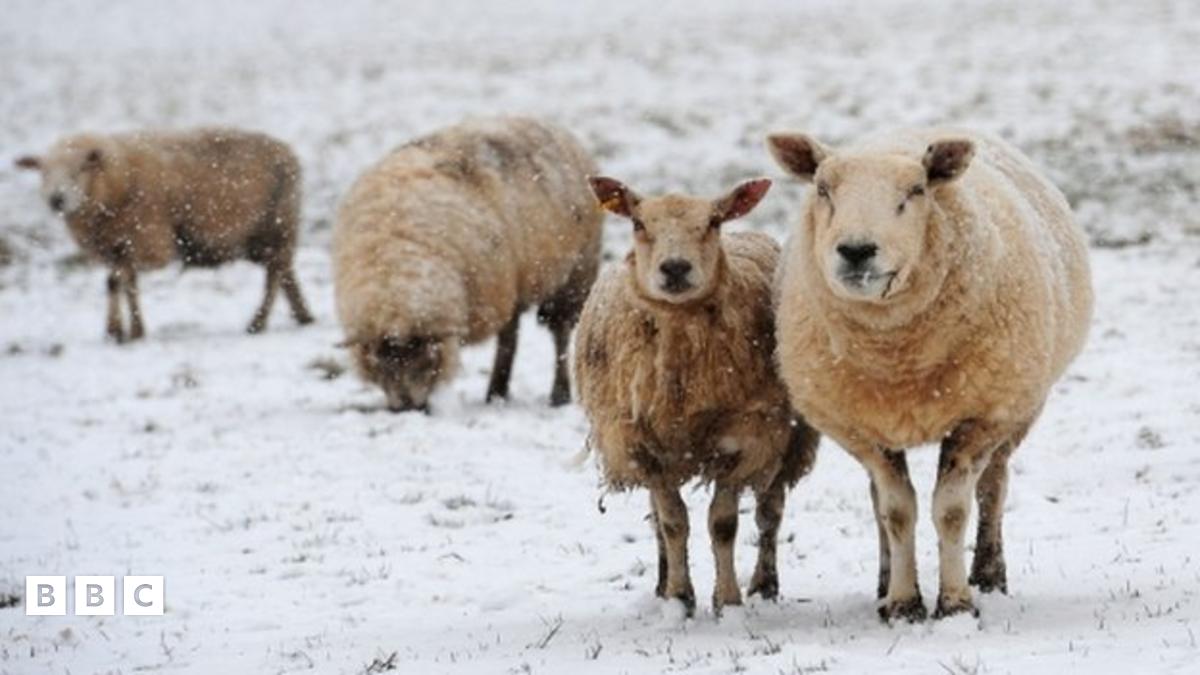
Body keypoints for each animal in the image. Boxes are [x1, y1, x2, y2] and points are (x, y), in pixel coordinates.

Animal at [14, 129, 314, 341]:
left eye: (79, 169)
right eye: (43, 173)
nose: (56, 200)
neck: (115, 182)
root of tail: (288, 152)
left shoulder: (149, 243)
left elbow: (117, 280)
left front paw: (122, 331)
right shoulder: (119, 246)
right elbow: (122, 283)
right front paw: (127, 330)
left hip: (275, 227)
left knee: (275, 275)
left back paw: (258, 323)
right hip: (264, 237)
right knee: (285, 271)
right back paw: (303, 316)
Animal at [333, 117, 603, 412]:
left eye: (426, 359)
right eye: (379, 364)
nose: (407, 408)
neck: (397, 267)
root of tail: (553, 127)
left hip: (574, 272)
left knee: (558, 333)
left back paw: (557, 394)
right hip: (513, 281)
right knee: (511, 335)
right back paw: (497, 392)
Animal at [574, 175, 820, 617]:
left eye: (713, 221)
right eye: (638, 223)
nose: (675, 268)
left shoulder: (742, 439)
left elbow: (723, 524)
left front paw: (728, 601)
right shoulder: (641, 445)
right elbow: (672, 522)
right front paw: (679, 597)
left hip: (789, 439)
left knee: (769, 513)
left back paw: (765, 585)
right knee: (658, 519)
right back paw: (661, 583)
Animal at [767, 128, 1093, 621]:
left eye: (916, 191)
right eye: (822, 189)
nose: (856, 250)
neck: (897, 360)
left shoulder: (980, 419)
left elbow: (953, 510)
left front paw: (956, 602)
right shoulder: (863, 430)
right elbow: (896, 511)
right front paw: (903, 602)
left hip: (1018, 406)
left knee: (994, 487)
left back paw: (990, 573)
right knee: (878, 501)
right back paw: (884, 581)